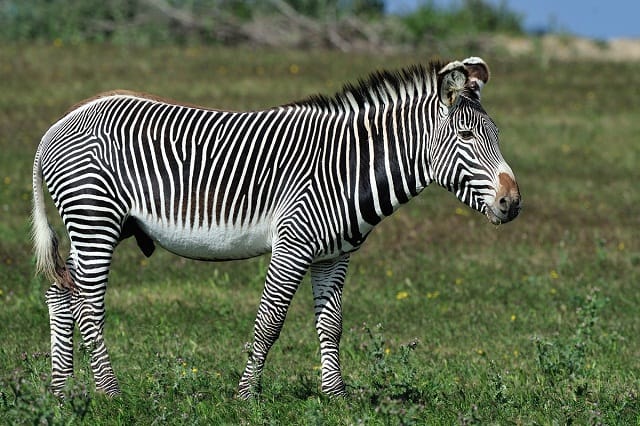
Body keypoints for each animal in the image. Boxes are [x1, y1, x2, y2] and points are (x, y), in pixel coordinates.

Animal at [32, 57, 520, 399]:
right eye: (465, 137)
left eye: (496, 135)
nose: (512, 203)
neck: (347, 167)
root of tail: (62, 121)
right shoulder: (293, 243)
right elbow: (269, 322)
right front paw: (246, 396)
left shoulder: (333, 254)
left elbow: (331, 325)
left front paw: (336, 396)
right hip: (95, 219)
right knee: (88, 308)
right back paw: (110, 393)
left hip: (95, 224)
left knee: (61, 294)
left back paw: (61, 392)